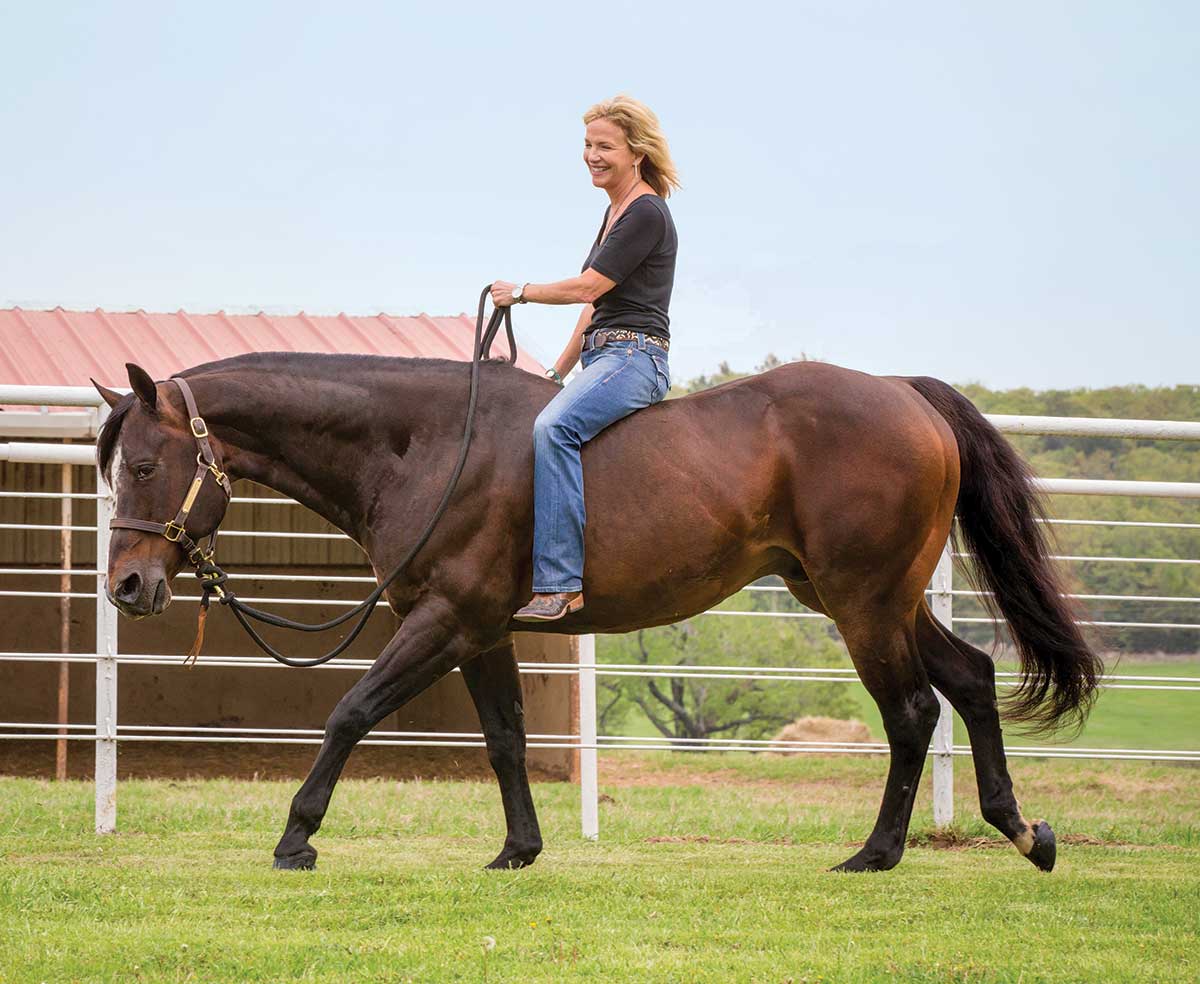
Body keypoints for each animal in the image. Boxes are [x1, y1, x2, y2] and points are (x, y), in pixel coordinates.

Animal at [92, 352, 1101, 873]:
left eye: (142, 464)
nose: (127, 588)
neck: (427, 444)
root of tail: (904, 394)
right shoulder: (481, 632)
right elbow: (504, 739)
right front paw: (519, 849)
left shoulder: (443, 620)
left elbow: (351, 712)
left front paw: (296, 836)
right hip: (869, 598)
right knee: (970, 679)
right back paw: (1023, 831)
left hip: (864, 604)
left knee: (912, 712)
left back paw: (878, 853)